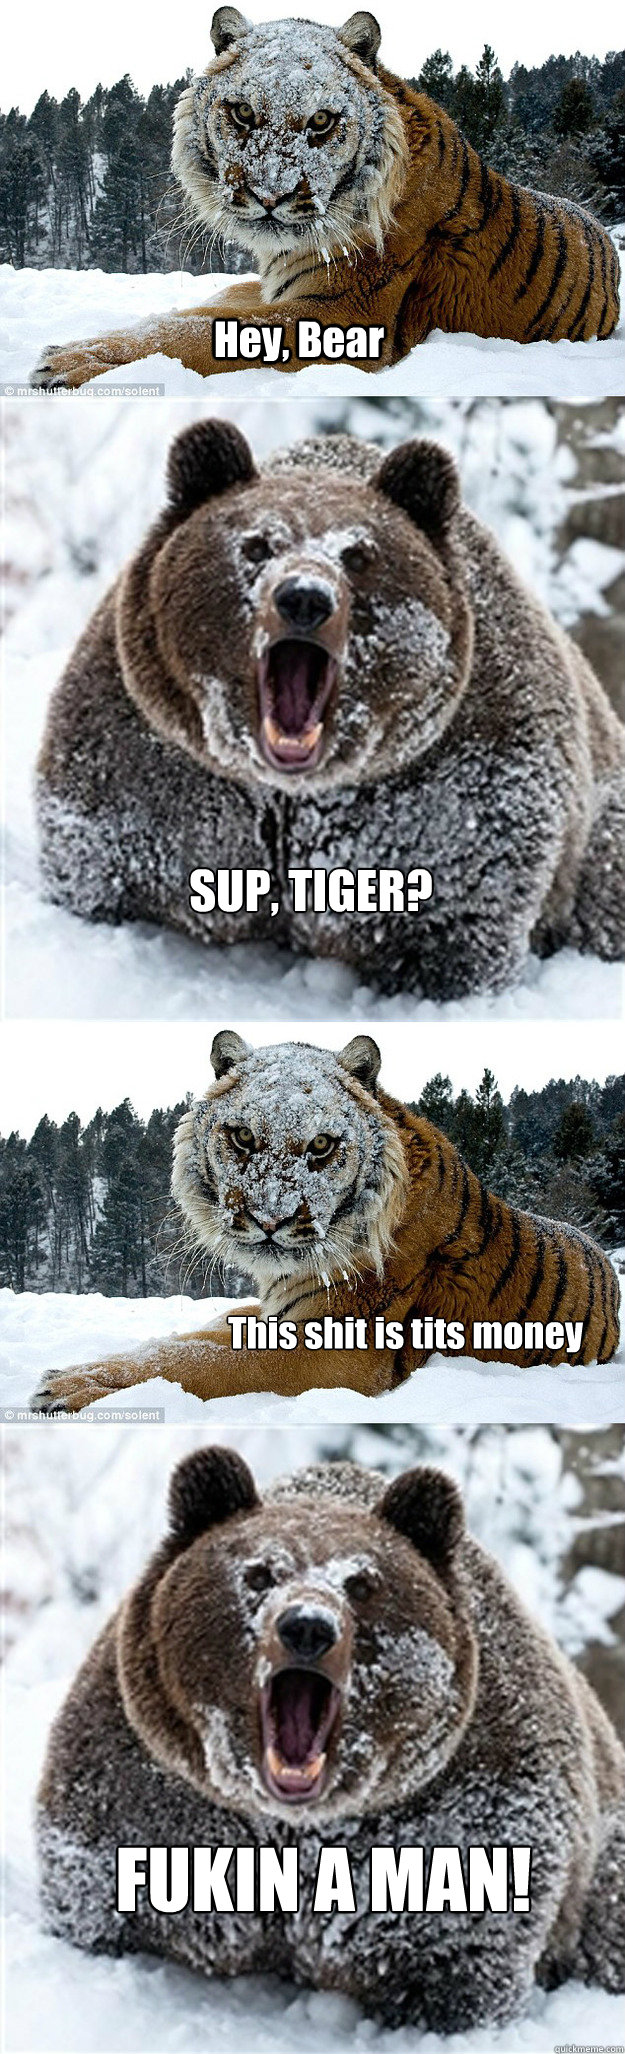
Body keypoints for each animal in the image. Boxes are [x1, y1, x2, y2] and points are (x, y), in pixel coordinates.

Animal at [30, 9, 620, 390]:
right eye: (243, 112)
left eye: (320, 121)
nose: (270, 193)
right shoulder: (277, 286)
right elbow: (189, 313)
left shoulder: (343, 311)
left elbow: (193, 332)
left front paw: (67, 363)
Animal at [30, 1032, 621, 1412]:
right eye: (243, 1136)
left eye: (320, 1146)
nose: (269, 1218)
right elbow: (181, 1341)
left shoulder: (329, 1356)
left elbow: (199, 1363)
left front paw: (66, 1388)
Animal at [35, 418, 625, 1000]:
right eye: (257, 545)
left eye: (358, 555)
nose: (304, 597)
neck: (289, 793)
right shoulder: (152, 764)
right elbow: (104, 862)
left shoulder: (452, 785)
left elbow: (455, 918)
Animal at [37, 1447, 625, 2032]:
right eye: (260, 1573)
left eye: (362, 1584)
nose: (307, 1627)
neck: (296, 1827)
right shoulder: (147, 1788)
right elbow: (101, 1896)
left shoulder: (464, 1807)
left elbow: (457, 1955)